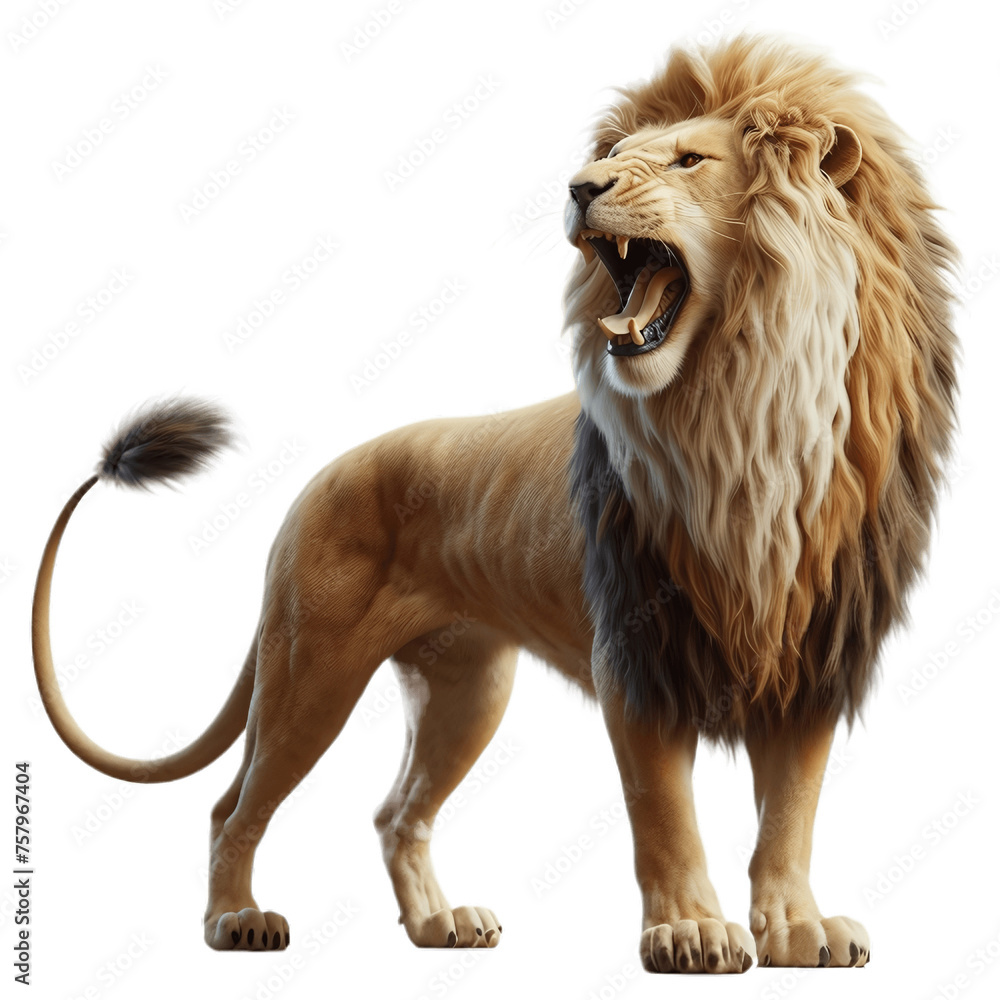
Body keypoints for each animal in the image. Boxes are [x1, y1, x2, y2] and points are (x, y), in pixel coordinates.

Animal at [32, 36, 957, 972]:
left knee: (395, 813)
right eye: (616, 157)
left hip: (466, 690)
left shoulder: (815, 653)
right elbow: (665, 815)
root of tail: (321, 474)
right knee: (234, 805)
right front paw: (689, 931)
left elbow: (790, 817)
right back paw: (236, 920)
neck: (751, 414)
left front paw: (799, 929)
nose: (580, 187)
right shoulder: (635, 654)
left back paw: (441, 924)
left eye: (689, 160)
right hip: (310, 667)